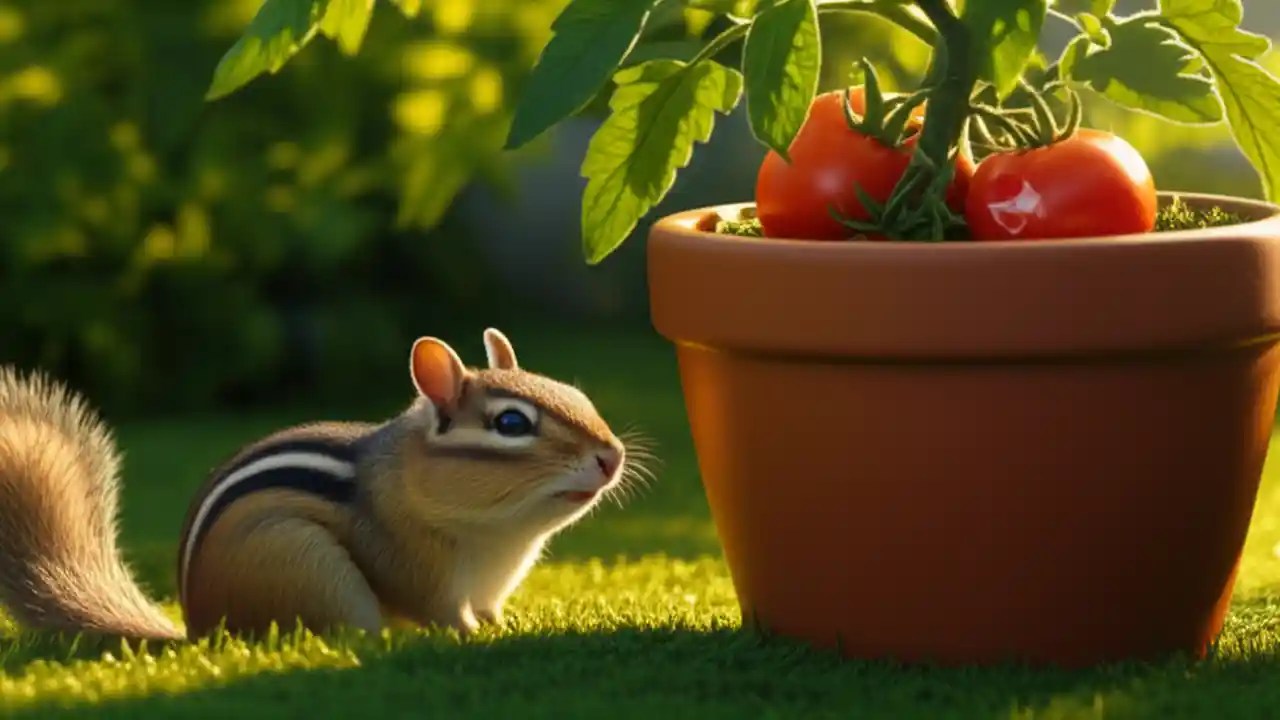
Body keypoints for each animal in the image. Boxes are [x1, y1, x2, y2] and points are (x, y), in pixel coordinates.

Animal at [0, 328, 636, 642]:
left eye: (570, 391)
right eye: (511, 424)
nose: (612, 456)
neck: (499, 539)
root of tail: (196, 631)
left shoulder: (489, 588)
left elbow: (492, 612)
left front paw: (511, 627)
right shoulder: (412, 564)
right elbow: (439, 612)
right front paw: (471, 637)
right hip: (307, 568)